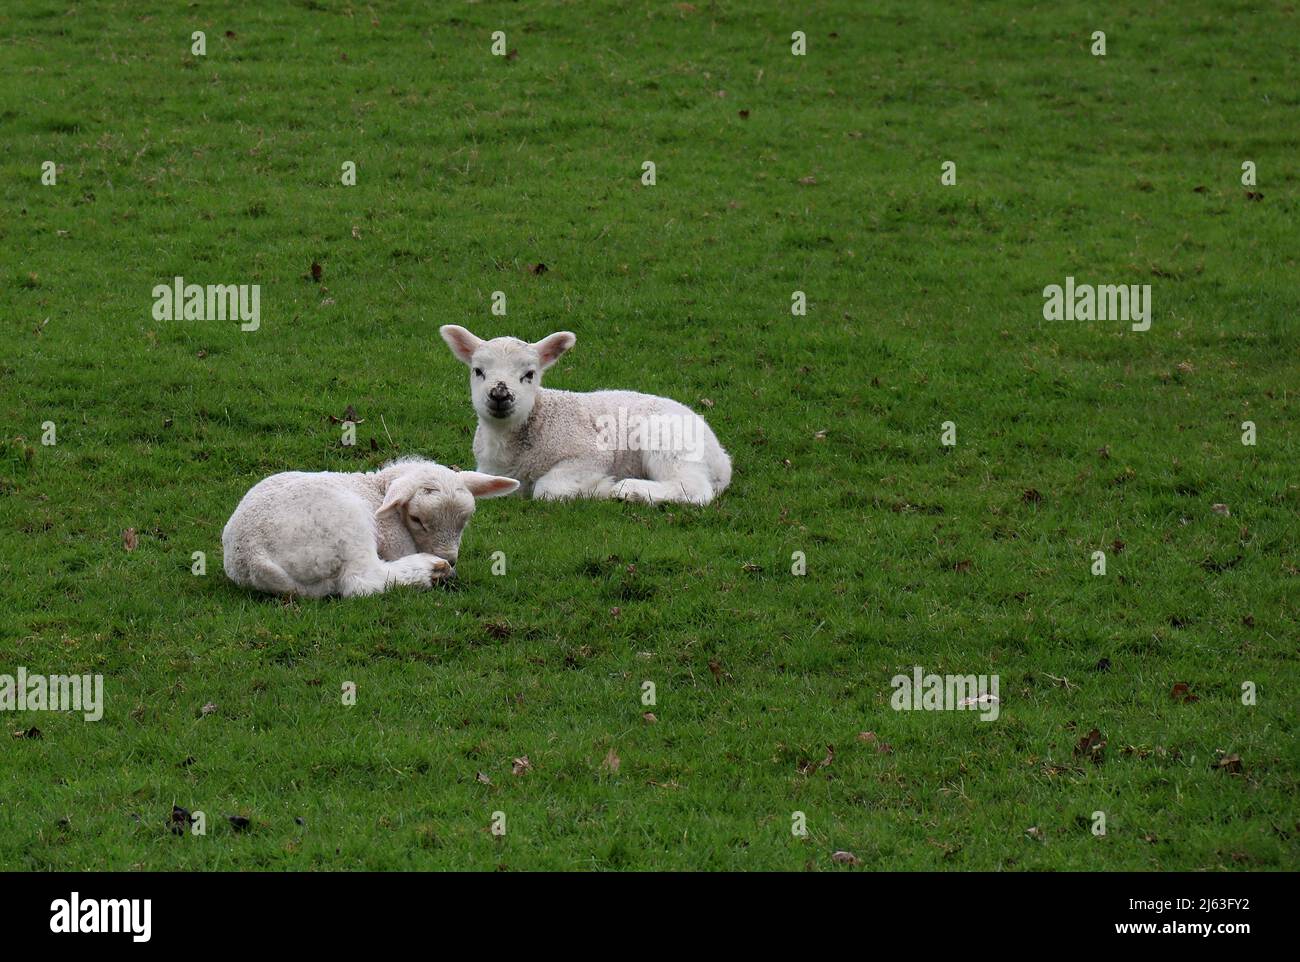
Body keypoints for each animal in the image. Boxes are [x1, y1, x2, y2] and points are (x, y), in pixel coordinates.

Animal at [222, 458, 518, 597]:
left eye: (464, 521)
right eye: (417, 519)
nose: (449, 558)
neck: (378, 488)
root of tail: (252, 556)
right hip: (346, 527)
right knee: (363, 580)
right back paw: (431, 571)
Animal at [439, 326, 732, 505]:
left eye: (529, 374)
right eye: (478, 371)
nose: (500, 395)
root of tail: (722, 459)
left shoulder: (591, 454)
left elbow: (547, 489)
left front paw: (600, 488)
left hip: (669, 442)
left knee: (692, 487)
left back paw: (629, 490)